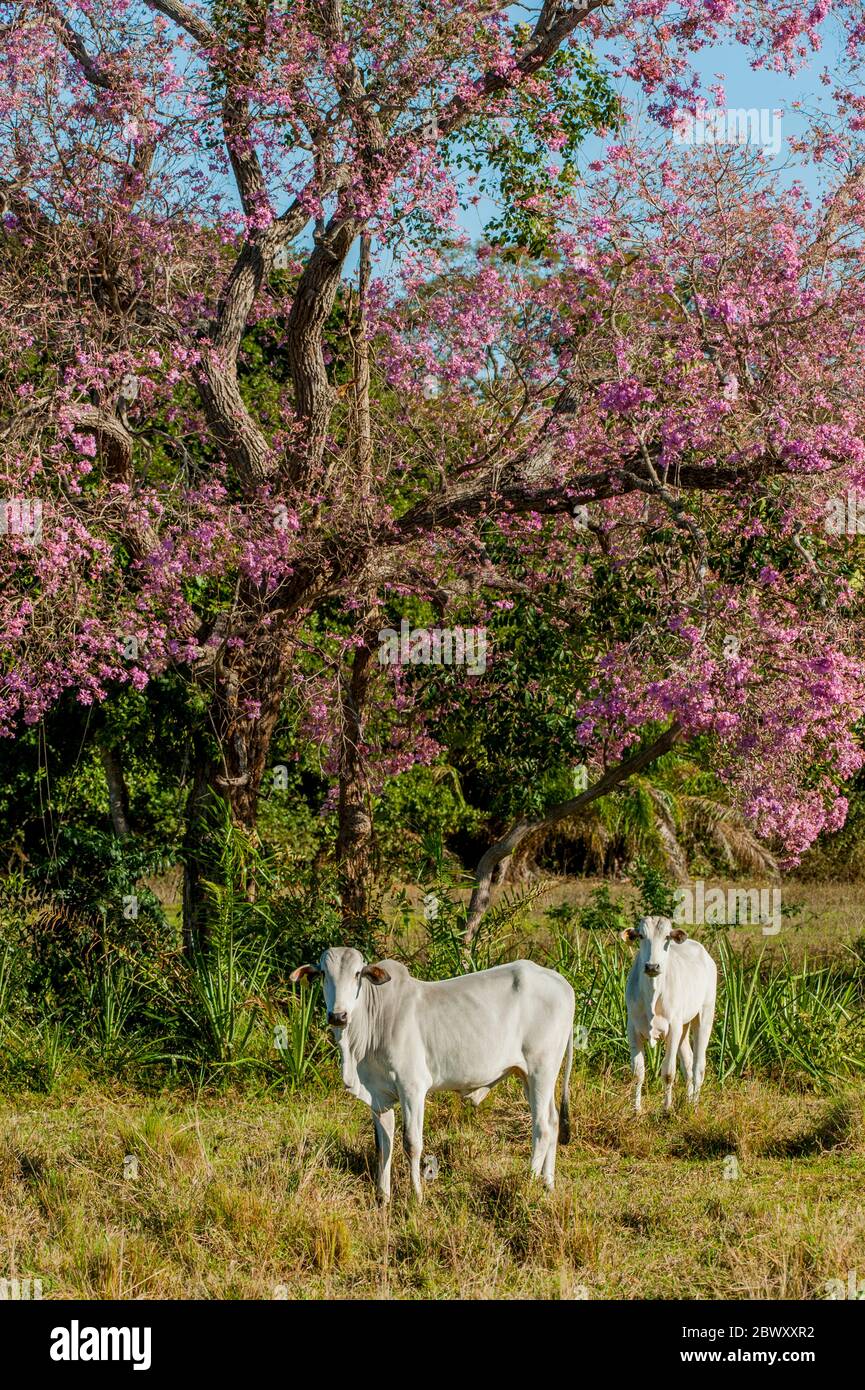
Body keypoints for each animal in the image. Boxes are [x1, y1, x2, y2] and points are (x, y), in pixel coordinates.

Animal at [290, 948, 575, 1201]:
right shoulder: (378, 1096)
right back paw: (548, 1184)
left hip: (541, 1070)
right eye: (324, 973)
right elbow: (383, 1146)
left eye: (357, 973)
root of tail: (562, 983)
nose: (338, 1015)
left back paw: (528, 1183)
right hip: (529, 1076)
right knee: (552, 1121)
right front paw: (383, 1198)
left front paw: (416, 1196)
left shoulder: (412, 1088)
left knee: (542, 1128)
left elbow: (411, 1143)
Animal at [621, 916, 717, 1114]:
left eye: (667, 937)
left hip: (704, 1015)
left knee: (698, 1066)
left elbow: (668, 1073)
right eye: (641, 936)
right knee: (688, 1062)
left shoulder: (673, 1029)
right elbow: (638, 1073)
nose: (652, 966)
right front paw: (636, 1109)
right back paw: (688, 1101)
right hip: (684, 1026)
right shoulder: (632, 1028)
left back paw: (695, 1106)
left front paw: (666, 1108)